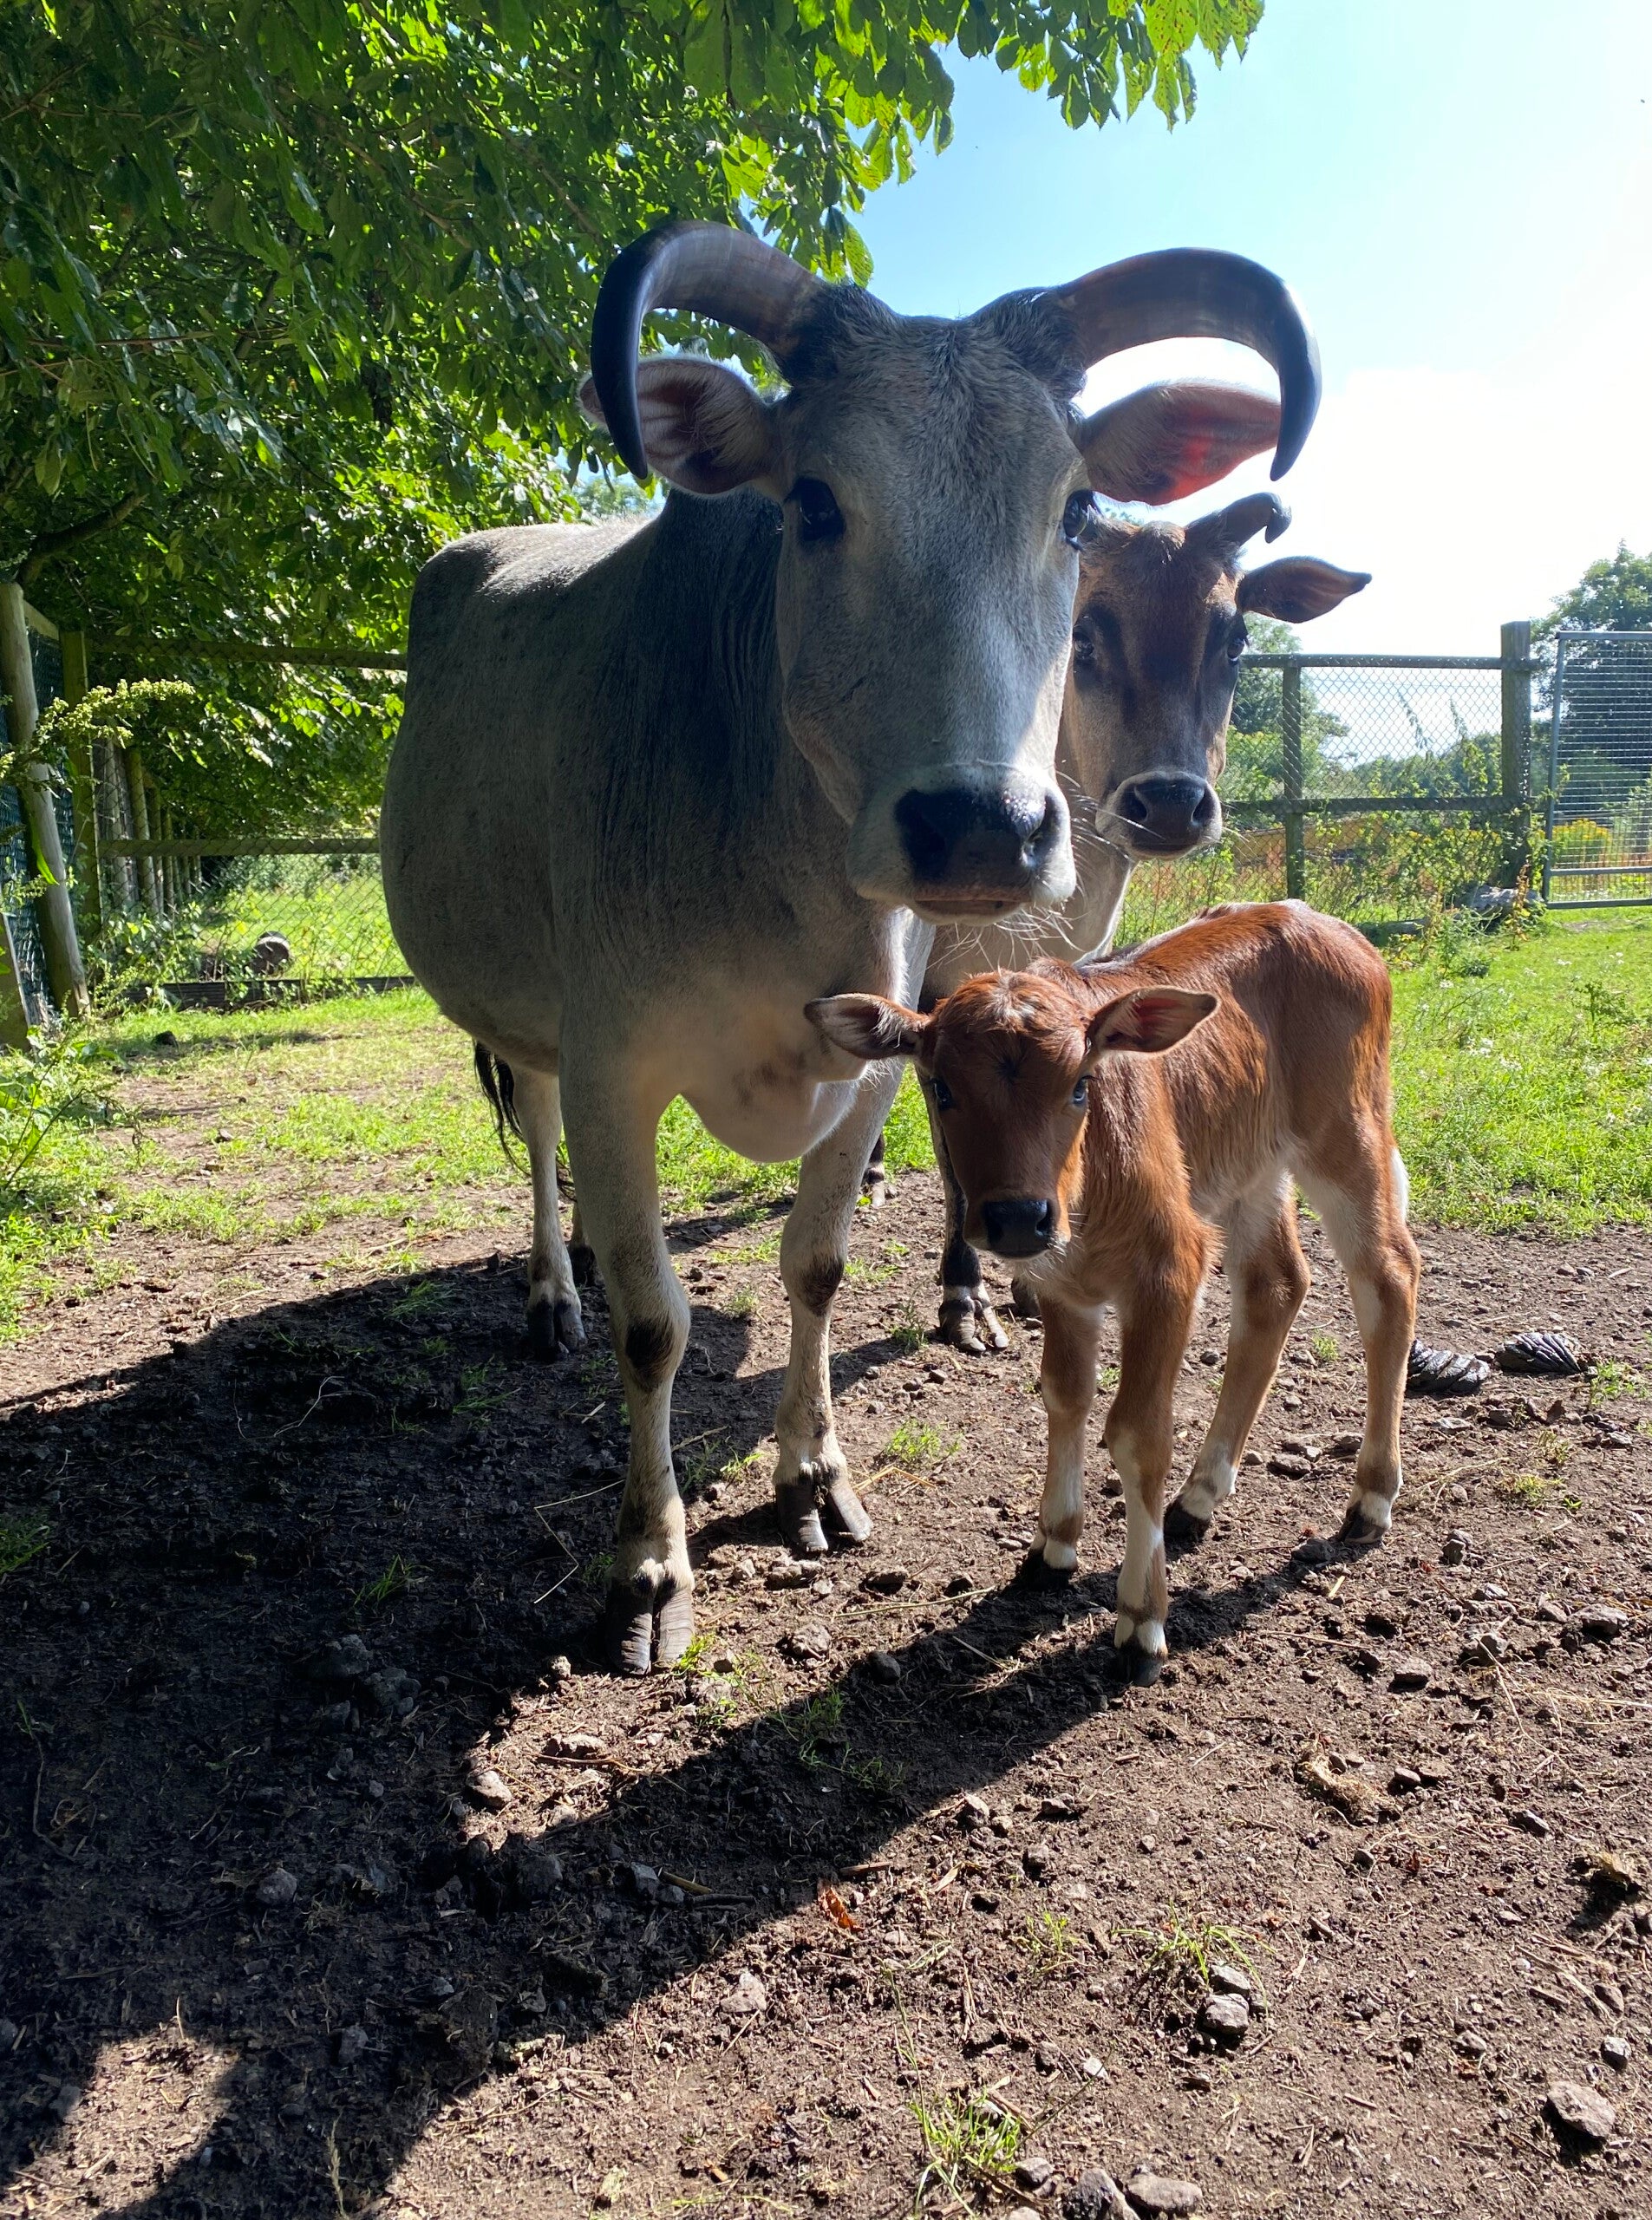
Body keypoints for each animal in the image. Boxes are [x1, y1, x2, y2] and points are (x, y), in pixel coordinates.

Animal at [381, 220, 1321, 1673]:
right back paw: (555, 1282)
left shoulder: (882, 1055)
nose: (981, 825)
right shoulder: (613, 1066)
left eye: (1074, 516)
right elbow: (656, 1325)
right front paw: (646, 1569)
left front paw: (812, 1476)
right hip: (521, 1021)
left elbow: (815, 1265)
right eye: (812, 504)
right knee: (537, 1142)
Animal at [808, 902, 1420, 1682]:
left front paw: (1140, 1618)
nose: (1017, 1216)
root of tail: (1324, 924)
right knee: (1276, 1285)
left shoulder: (1170, 1268)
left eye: (1079, 1084)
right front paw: (1054, 1546)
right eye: (940, 1090)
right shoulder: (1061, 1285)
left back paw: (1370, 1495)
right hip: (1248, 1167)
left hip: (1347, 1131)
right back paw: (1200, 1496)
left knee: (1388, 1277)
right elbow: (1065, 1396)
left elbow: (1137, 1435)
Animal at [888, 490, 1369, 1353]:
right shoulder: (938, 982)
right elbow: (952, 1151)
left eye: (1234, 639)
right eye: (1082, 634)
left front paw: (1030, 1282)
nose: (1170, 802)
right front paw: (965, 1300)